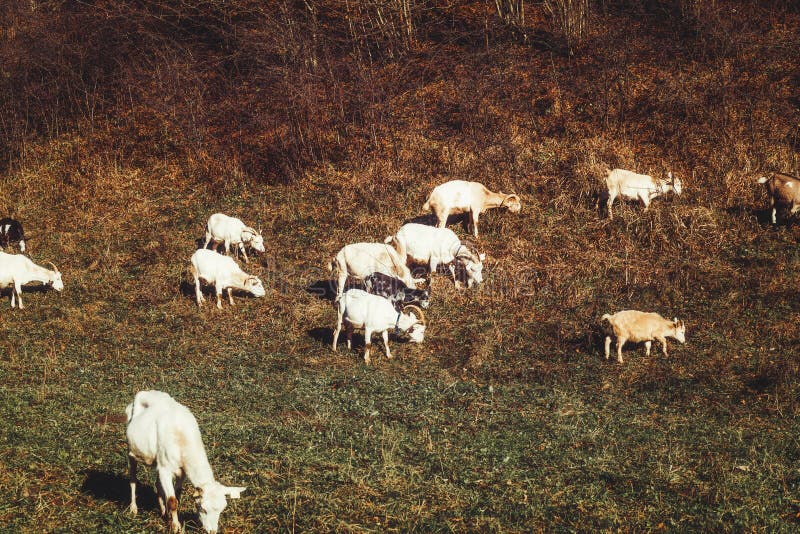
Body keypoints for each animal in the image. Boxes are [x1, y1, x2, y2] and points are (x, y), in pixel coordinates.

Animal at [126, 390, 246, 534]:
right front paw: (175, 527)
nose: (212, 531)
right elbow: (172, 501)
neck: (182, 438)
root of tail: (146, 392)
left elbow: (176, 496)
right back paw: (133, 508)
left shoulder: (181, 471)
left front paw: (170, 517)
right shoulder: (165, 469)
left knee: (157, 483)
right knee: (133, 479)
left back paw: (162, 510)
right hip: (131, 451)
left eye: (222, 510)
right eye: (203, 508)